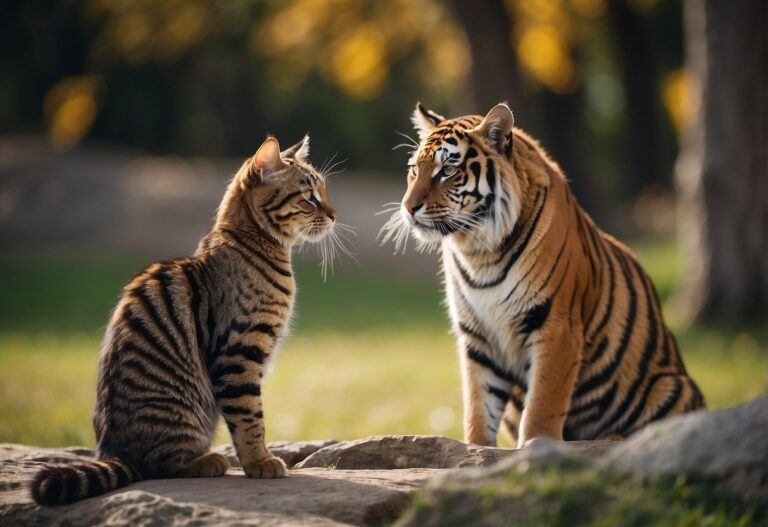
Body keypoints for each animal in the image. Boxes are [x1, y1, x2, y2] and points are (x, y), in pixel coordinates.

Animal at [32, 135, 340, 505]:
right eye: (309, 196)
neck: (254, 245)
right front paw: (259, 461)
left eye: (324, 192)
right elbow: (250, 417)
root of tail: (116, 452)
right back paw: (208, 460)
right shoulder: (238, 352)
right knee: (157, 465)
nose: (335, 215)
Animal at [382, 102, 705, 448]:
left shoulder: (557, 325)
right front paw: (476, 449)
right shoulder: (477, 335)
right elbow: (477, 406)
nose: (408, 208)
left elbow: (543, 403)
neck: (479, 250)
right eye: (414, 169)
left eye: (448, 170)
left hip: (671, 385)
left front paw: (535, 450)